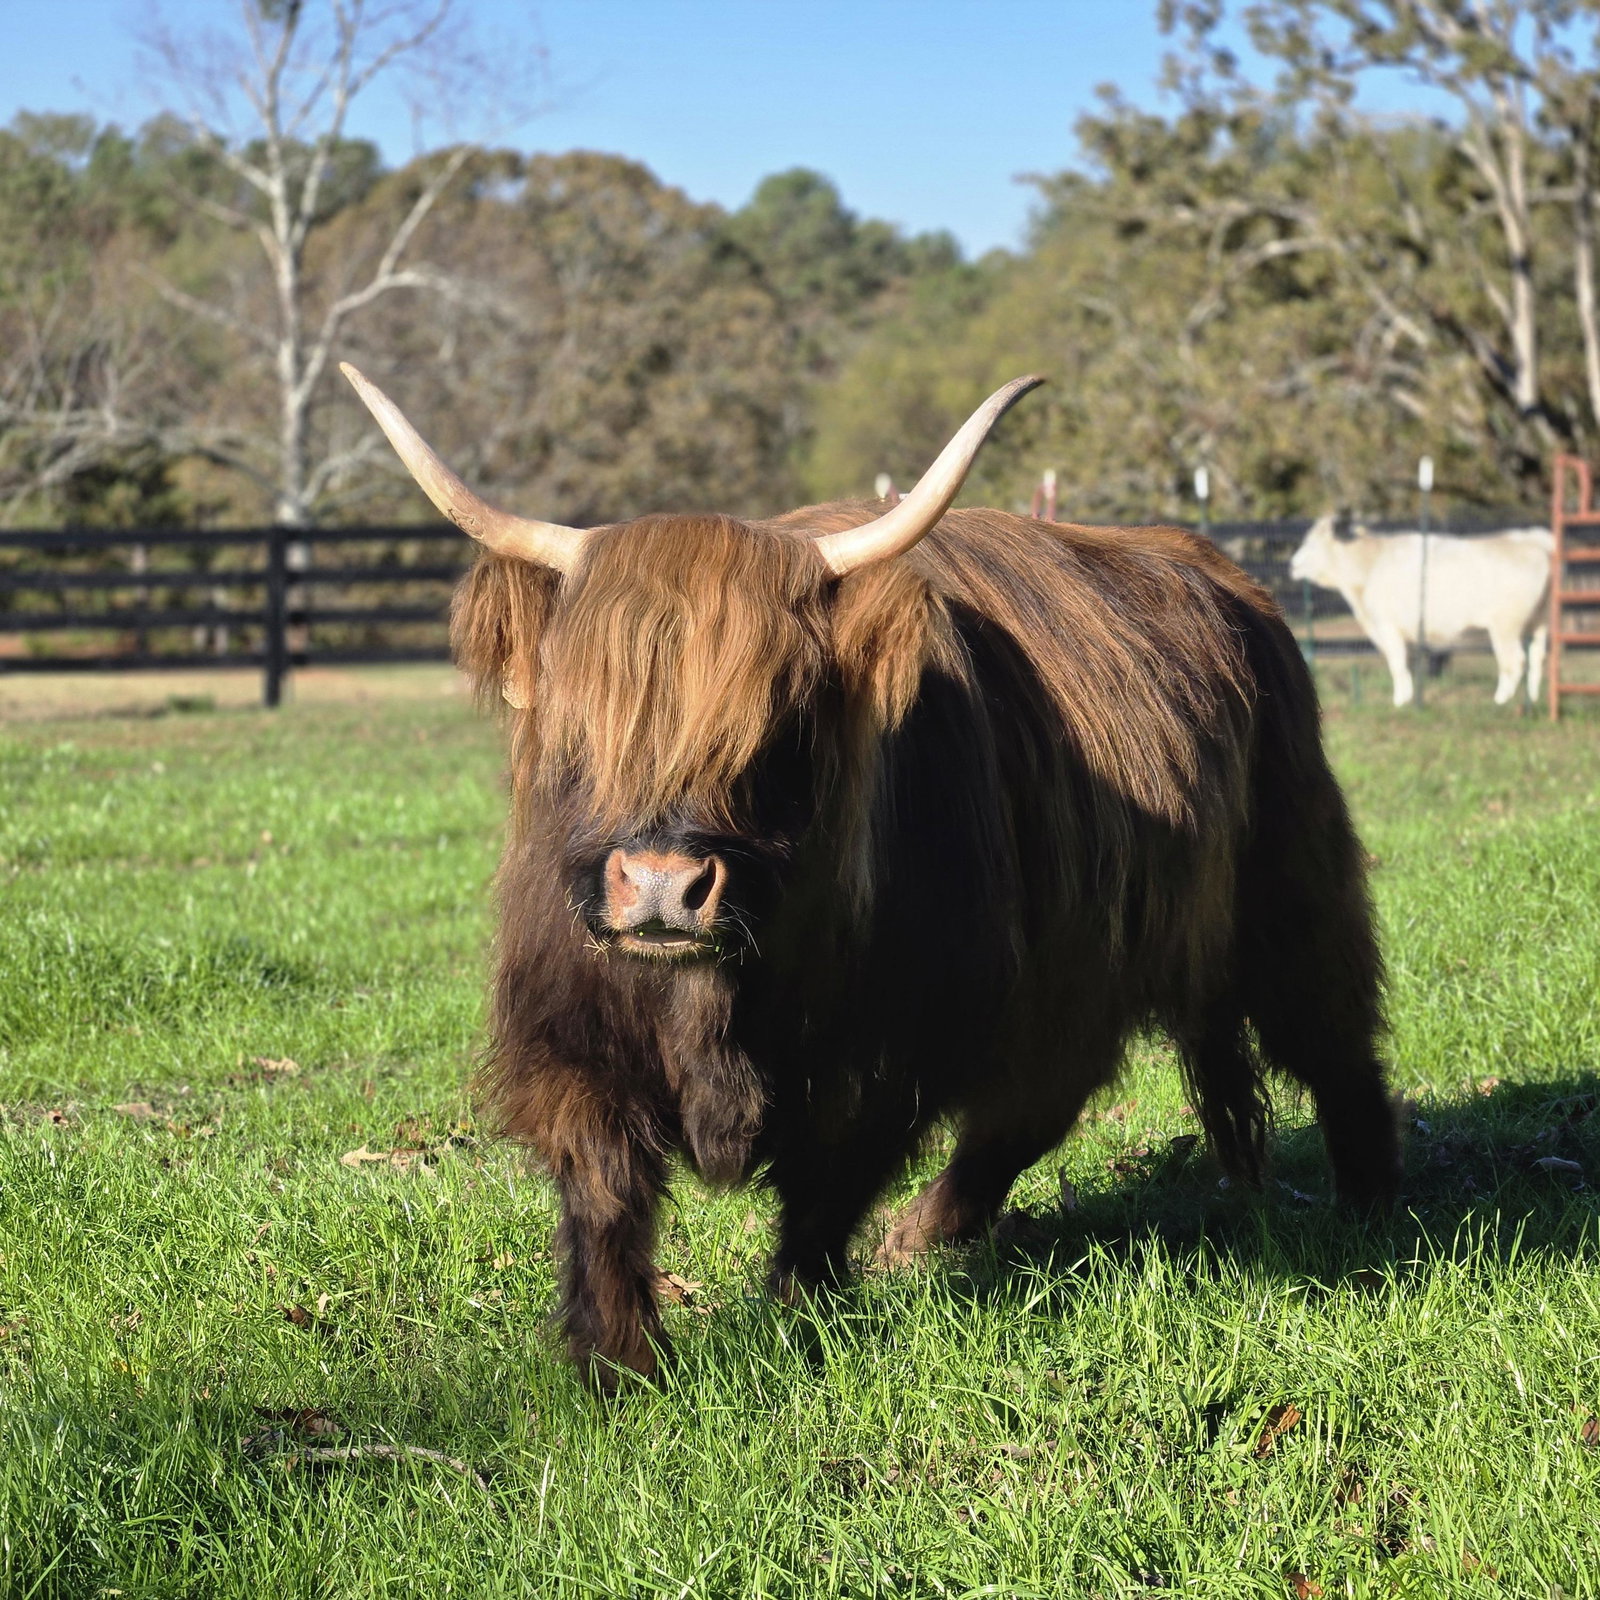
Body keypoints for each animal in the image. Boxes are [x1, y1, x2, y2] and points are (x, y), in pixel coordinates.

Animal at [342, 363, 1403, 1391]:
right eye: (583, 725)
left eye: (782, 724)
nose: (661, 886)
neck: (715, 1007)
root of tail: (1218, 571)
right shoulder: (571, 1029)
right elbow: (604, 1185)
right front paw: (619, 1364)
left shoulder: (887, 1044)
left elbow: (829, 1182)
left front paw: (798, 1312)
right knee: (1049, 1092)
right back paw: (928, 1235)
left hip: (1290, 884)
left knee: (1331, 1037)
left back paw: (1370, 1209)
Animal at [1288, 513, 1553, 707]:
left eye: (1311, 543)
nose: (1292, 564)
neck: (1370, 563)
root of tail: (1534, 538)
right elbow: (1408, 662)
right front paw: (1409, 697)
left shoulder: (1388, 626)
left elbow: (1397, 663)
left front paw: (1399, 702)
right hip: (1539, 622)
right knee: (1537, 658)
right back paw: (1533, 700)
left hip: (1505, 625)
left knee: (1514, 660)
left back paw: (1500, 701)